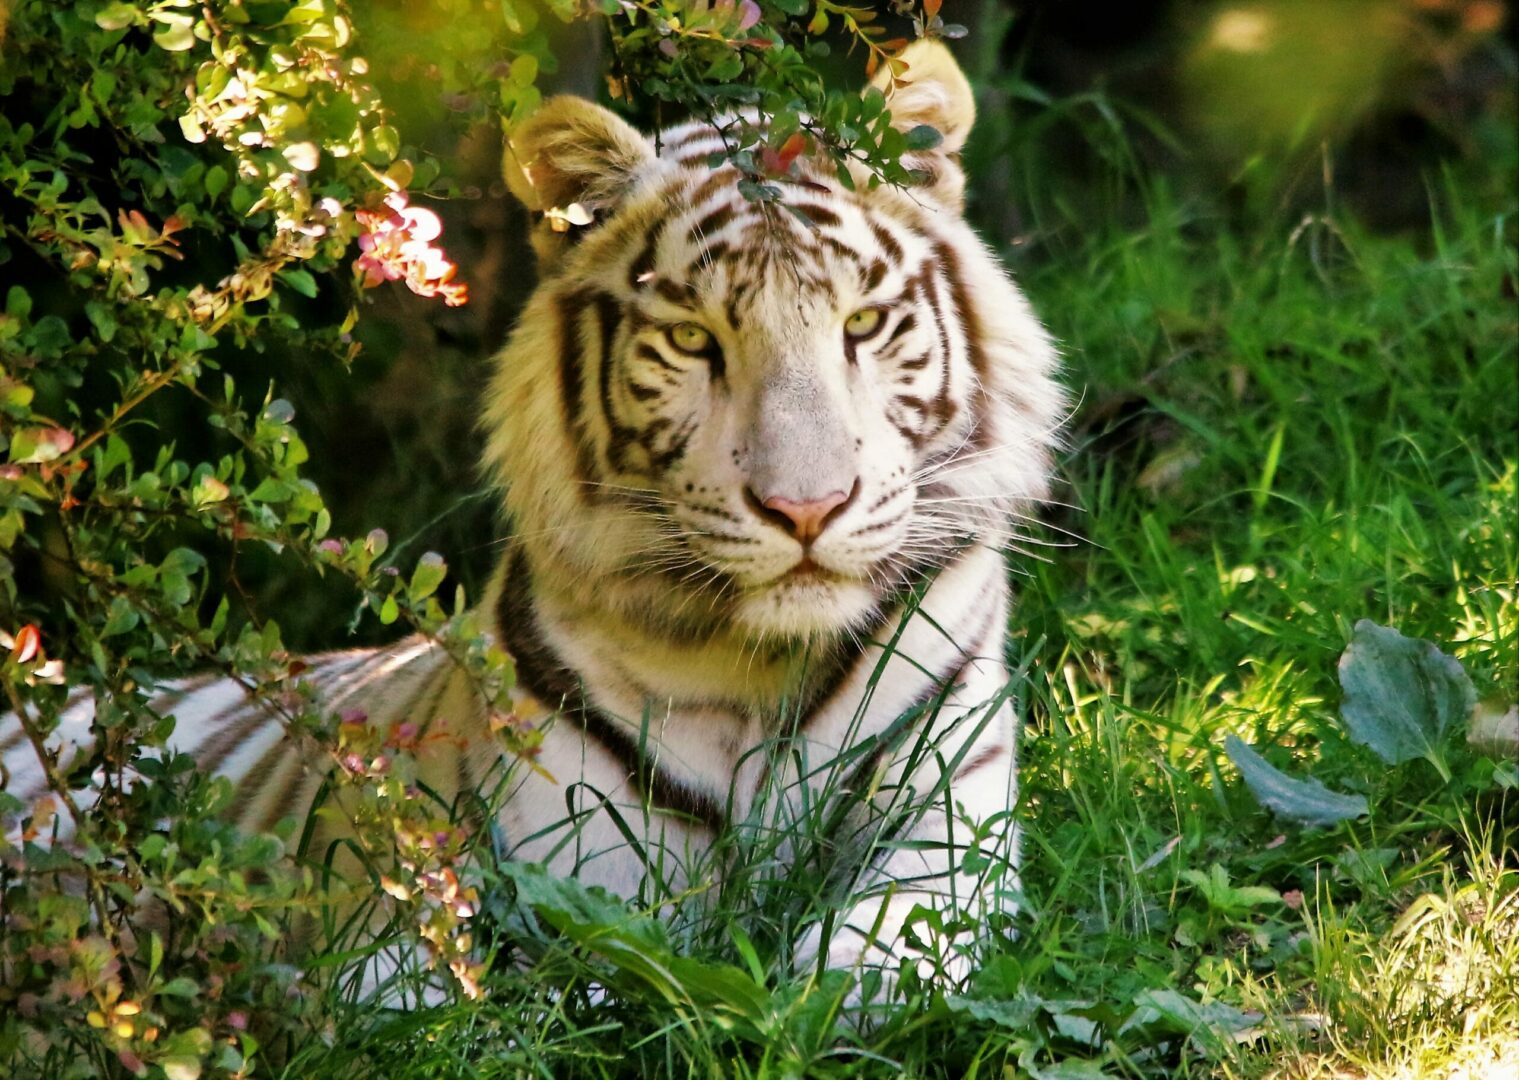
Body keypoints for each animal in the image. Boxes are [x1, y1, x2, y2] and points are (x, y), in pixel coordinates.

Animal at [1, 40, 1064, 997]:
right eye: (693, 339)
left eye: (861, 325)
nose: (803, 509)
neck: (755, 672)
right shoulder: (517, 878)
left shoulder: (942, 831)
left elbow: (879, 956)